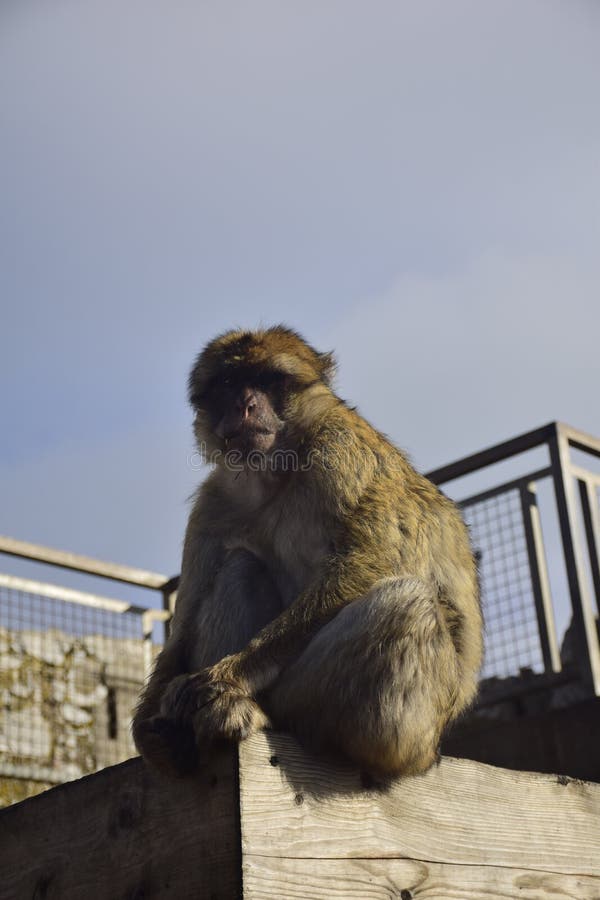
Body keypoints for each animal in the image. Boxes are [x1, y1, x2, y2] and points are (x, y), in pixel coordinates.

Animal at [132, 325, 483, 778]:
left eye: (268, 380)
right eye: (228, 383)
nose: (245, 404)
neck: (273, 474)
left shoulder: (340, 449)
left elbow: (373, 560)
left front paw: (227, 676)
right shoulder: (211, 505)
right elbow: (185, 623)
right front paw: (149, 730)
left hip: (401, 725)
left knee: (408, 603)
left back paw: (255, 713)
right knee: (240, 567)